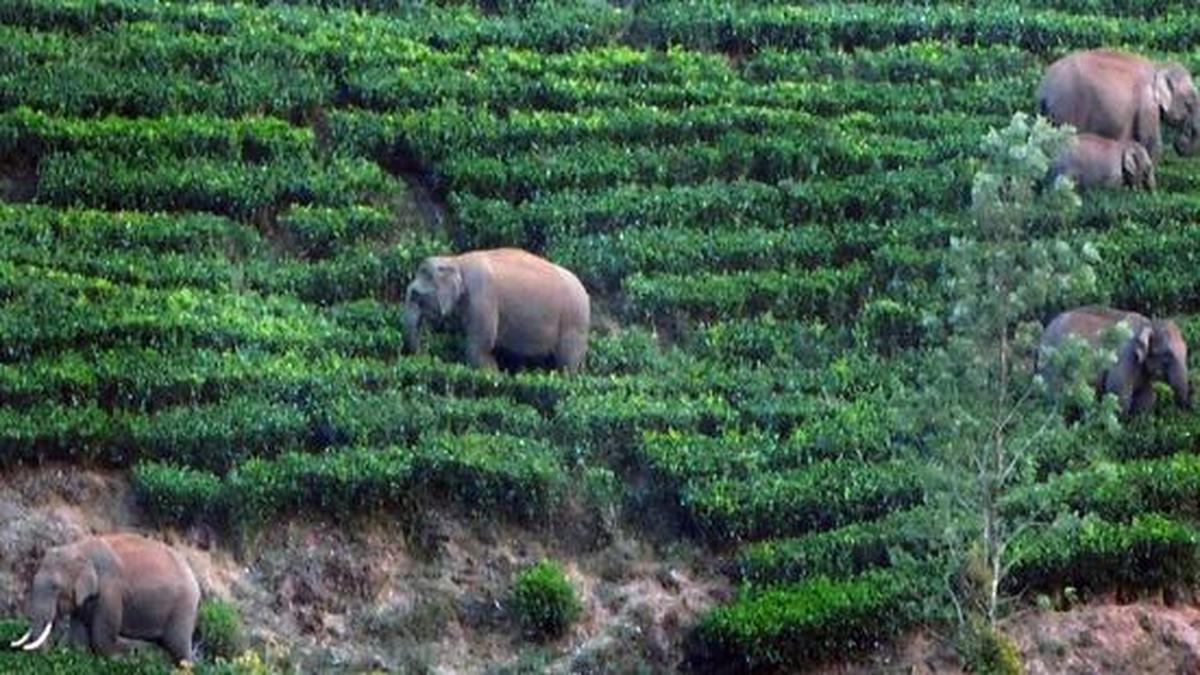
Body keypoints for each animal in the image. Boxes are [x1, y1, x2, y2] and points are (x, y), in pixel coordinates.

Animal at [9, 533, 200, 666]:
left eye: (56, 587)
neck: (79, 549)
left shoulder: (110, 591)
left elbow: (101, 638)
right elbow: (79, 636)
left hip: (184, 606)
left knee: (178, 647)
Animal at [402, 248, 590, 372]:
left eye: (415, 295)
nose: (423, 356)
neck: (456, 260)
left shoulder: (482, 296)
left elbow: (482, 343)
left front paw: (491, 375)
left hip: (574, 321)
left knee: (567, 361)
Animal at [1037, 49, 1200, 160]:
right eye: (1189, 104)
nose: (1180, 142)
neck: (1158, 66)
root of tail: (1045, 88)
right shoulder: (1147, 103)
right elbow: (1150, 142)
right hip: (1068, 107)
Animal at [1038, 306, 1190, 416]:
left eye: (1186, 351)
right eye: (1167, 355)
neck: (1149, 323)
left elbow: (1147, 397)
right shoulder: (1125, 358)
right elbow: (1118, 393)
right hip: (1052, 365)